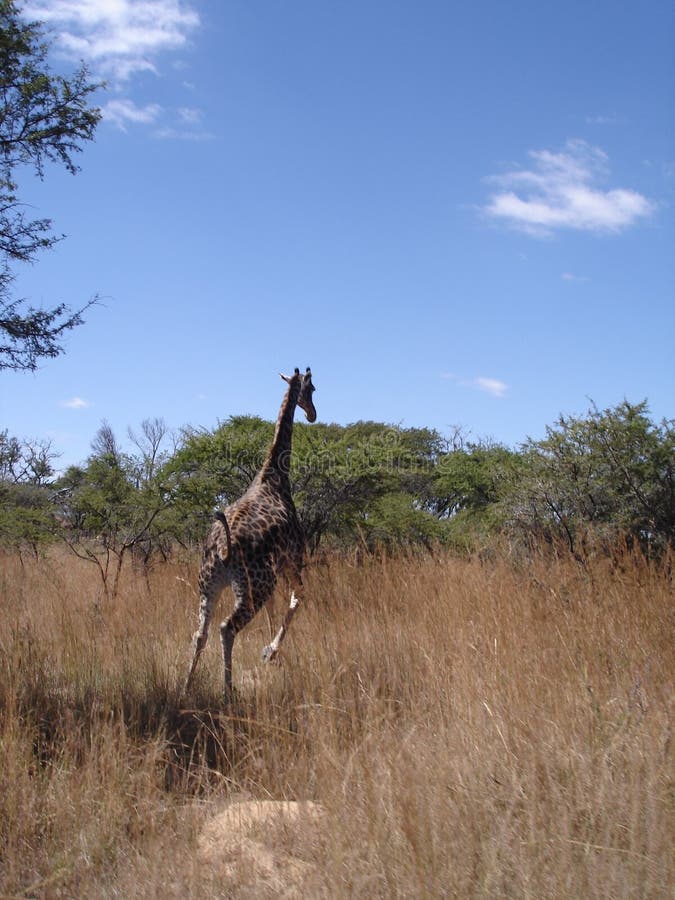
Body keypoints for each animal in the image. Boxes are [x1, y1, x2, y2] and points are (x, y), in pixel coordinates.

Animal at [183, 367, 317, 698]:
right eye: (312, 389)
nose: (313, 414)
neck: (275, 476)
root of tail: (223, 547)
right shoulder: (292, 560)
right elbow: (298, 598)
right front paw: (270, 651)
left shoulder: (279, 568)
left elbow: (276, 609)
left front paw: (269, 650)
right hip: (255, 585)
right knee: (226, 628)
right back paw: (227, 691)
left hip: (209, 585)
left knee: (200, 634)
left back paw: (185, 687)